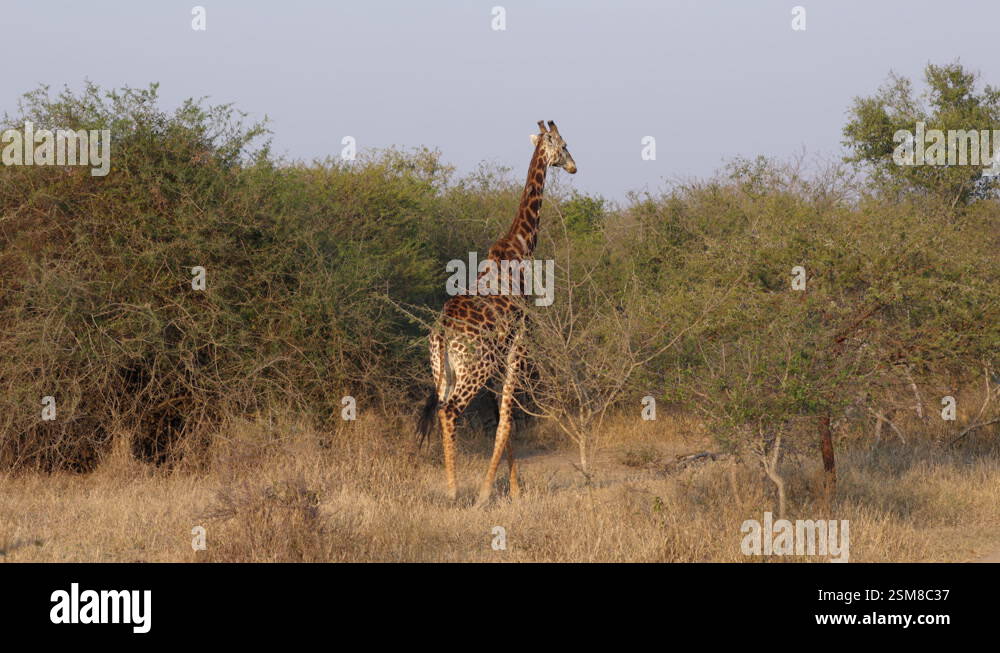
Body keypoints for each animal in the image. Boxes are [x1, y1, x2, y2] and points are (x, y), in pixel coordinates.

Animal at [416, 120, 576, 507]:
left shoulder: (502, 354)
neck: (520, 245)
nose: (574, 166)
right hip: (474, 369)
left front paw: (515, 489)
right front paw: (489, 492)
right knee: (450, 412)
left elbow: (503, 417)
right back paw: (455, 490)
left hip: (444, 370)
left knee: (441, 408)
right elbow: (506, 417)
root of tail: (443, 333)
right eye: (564, 145)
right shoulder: (520, 341)